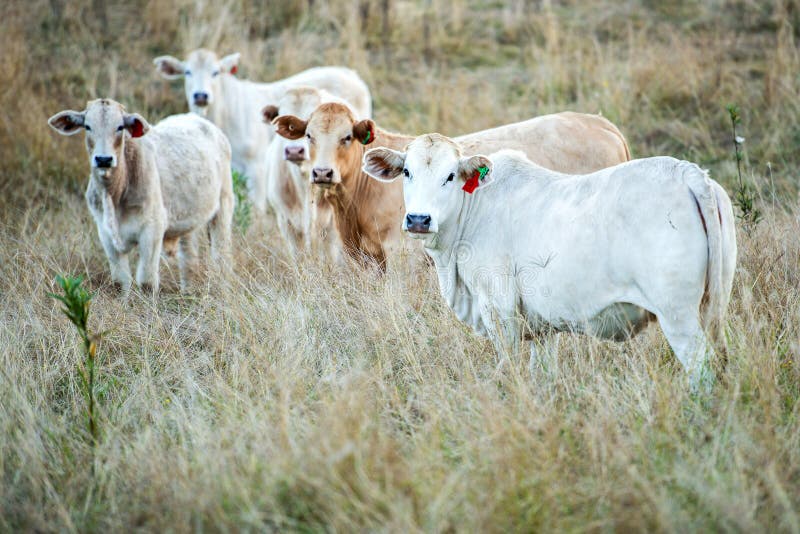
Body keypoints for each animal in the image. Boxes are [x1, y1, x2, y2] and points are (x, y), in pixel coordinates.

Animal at [48, 98, 233, 294]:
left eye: (120, 127)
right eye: (88, 126)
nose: (104, 159)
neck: (114, 193)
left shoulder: (152, 230)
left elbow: (147, 282)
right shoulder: (105, 234)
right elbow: (119, 282)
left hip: (224, 204)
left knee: (222, 256)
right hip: (188, 219)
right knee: (189, 258)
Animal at [154, 49, 371, 214]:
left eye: (215, 72)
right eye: (187, 72)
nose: (201, 95)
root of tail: (350, 74)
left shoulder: (256, 166)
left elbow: (256, 208)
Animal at [362, 134, 737, 388]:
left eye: (450, 176)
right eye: (406, 172)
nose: (418, 219)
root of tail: (689, 173)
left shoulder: (499, 308)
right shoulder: (542, 327)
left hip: (678, 314)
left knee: (701, 368)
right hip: (712, 305)